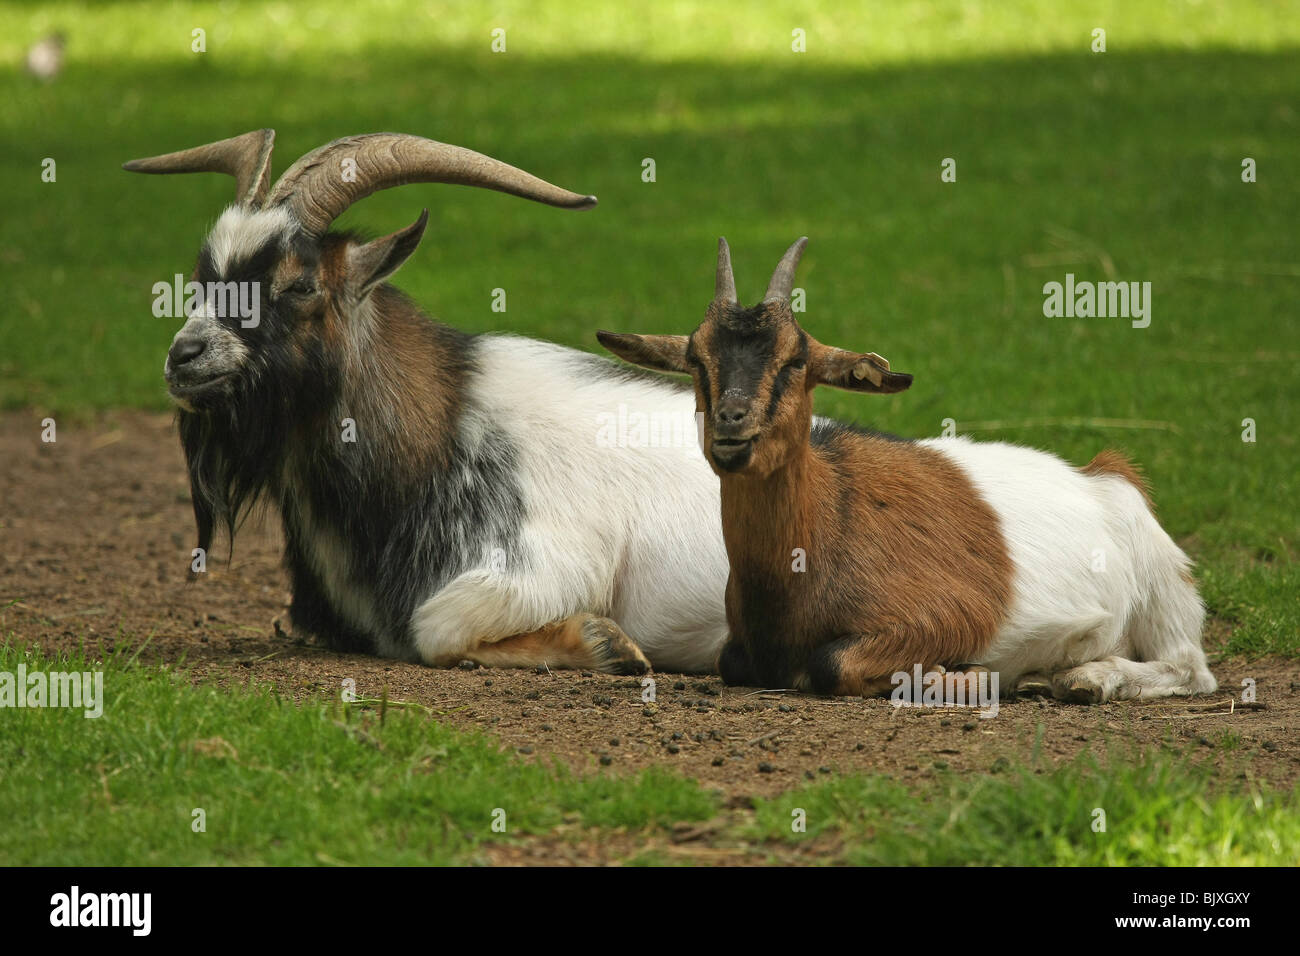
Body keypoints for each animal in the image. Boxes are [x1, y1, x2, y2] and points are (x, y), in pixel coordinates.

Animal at [125, 129, 732, 674]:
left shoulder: (553, 563)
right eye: (202, 279)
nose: (185, 355)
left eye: (300, 285)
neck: (444, 431)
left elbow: (435, 626)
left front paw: (608, 643)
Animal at [598, 238, 1218, 703]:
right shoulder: (739, 647)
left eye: (796, 360)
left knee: (1191, 666)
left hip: (1162, 587)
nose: (732, 422)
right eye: (696, 358)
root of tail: (1101, 476)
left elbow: (832, 663)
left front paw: (960, 677)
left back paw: (1088, 678)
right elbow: (733, 660)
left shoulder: (944, 616)